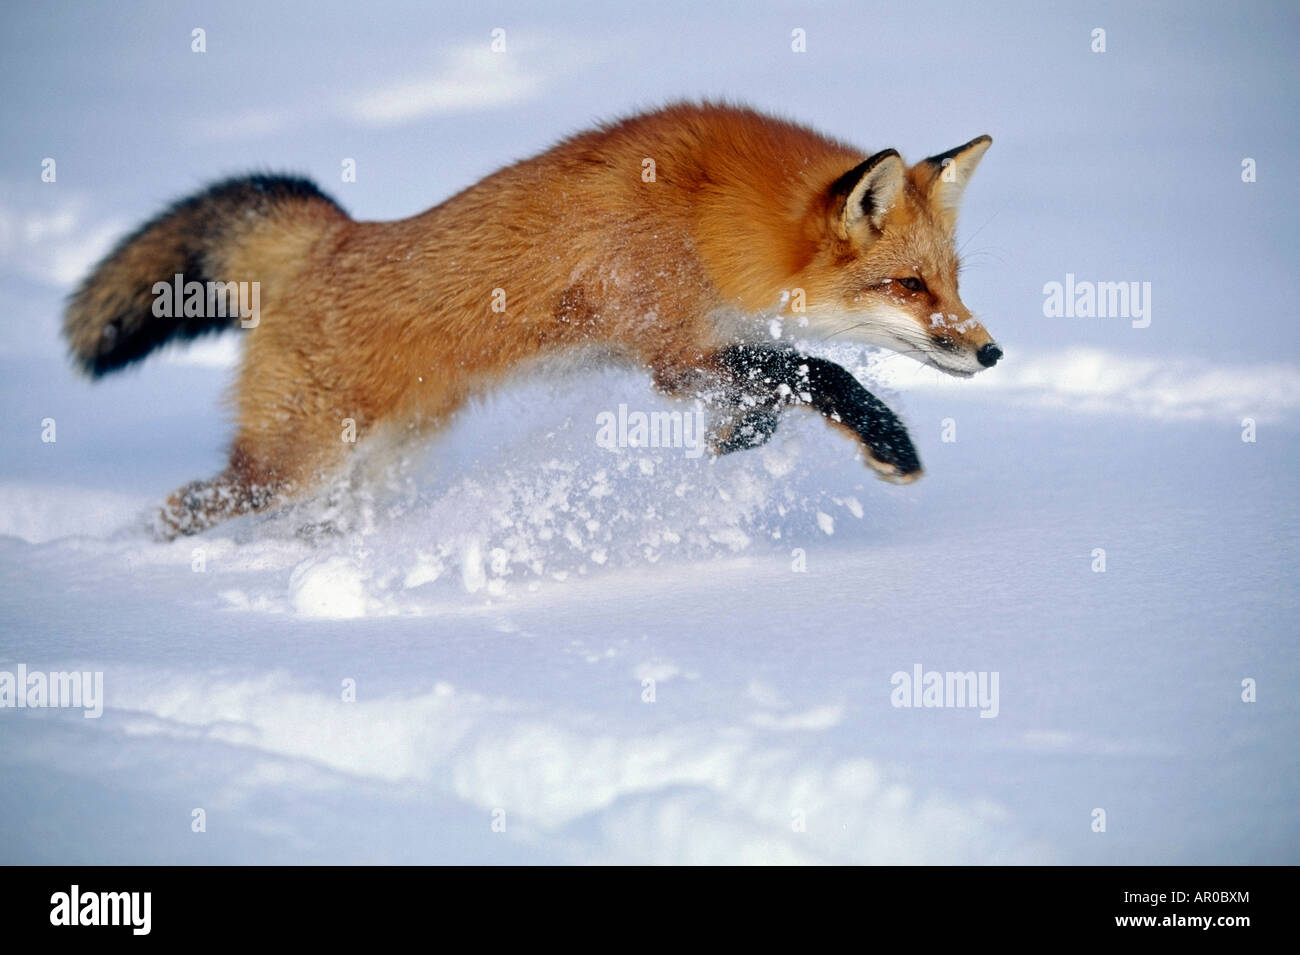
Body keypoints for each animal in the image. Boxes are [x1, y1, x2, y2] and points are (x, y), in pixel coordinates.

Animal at [63, 102, 1001, 538]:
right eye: (910, 285)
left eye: (952, 281)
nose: (991, 352)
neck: (704, 214)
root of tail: (332, 234)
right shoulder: (670, 349)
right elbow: (821, 371)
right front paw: (890, 442)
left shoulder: (712, 345)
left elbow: (779, 382)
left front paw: (738, 438)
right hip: (291, 465)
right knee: (184, 506)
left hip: (376, 466)